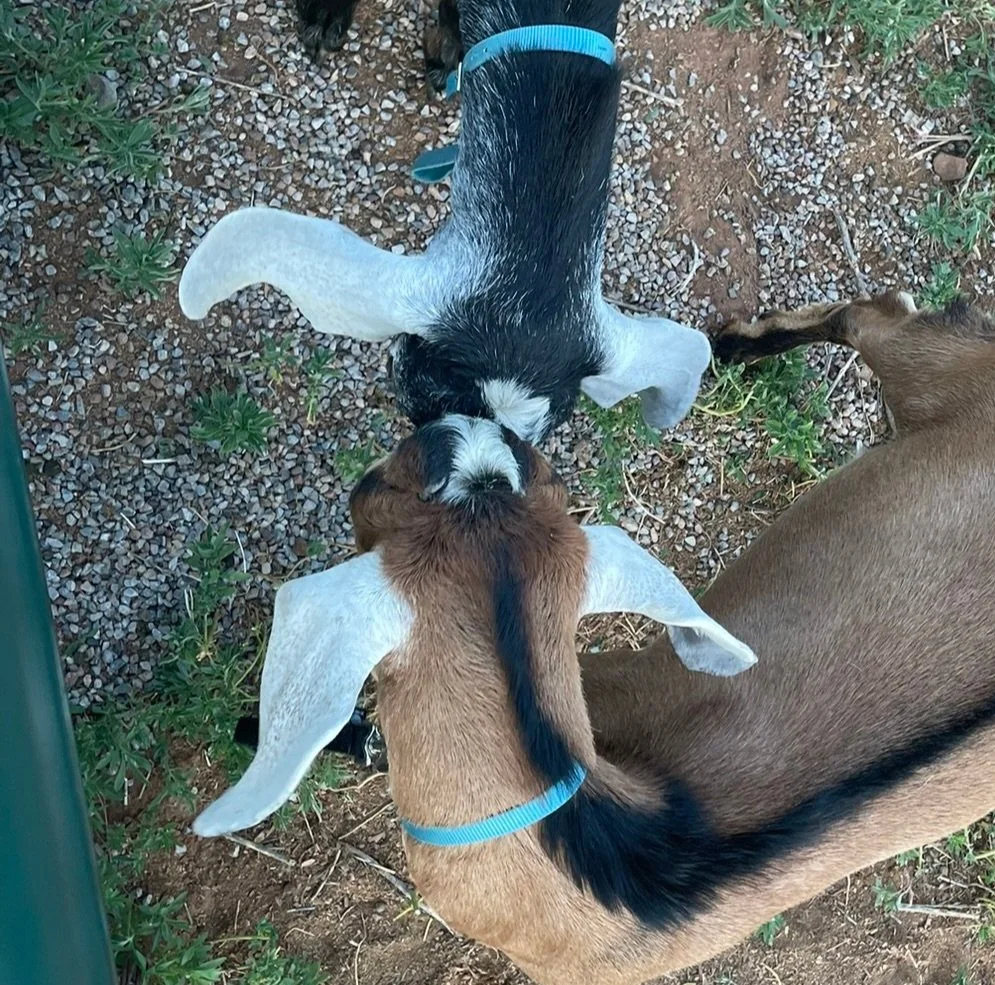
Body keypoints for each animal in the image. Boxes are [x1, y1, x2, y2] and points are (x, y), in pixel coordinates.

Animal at [191, 291, 995, 984]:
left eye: (381, 487)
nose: (470, 429)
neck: (611, 861)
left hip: (929, 378)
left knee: (890, 320)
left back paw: (741, 343)